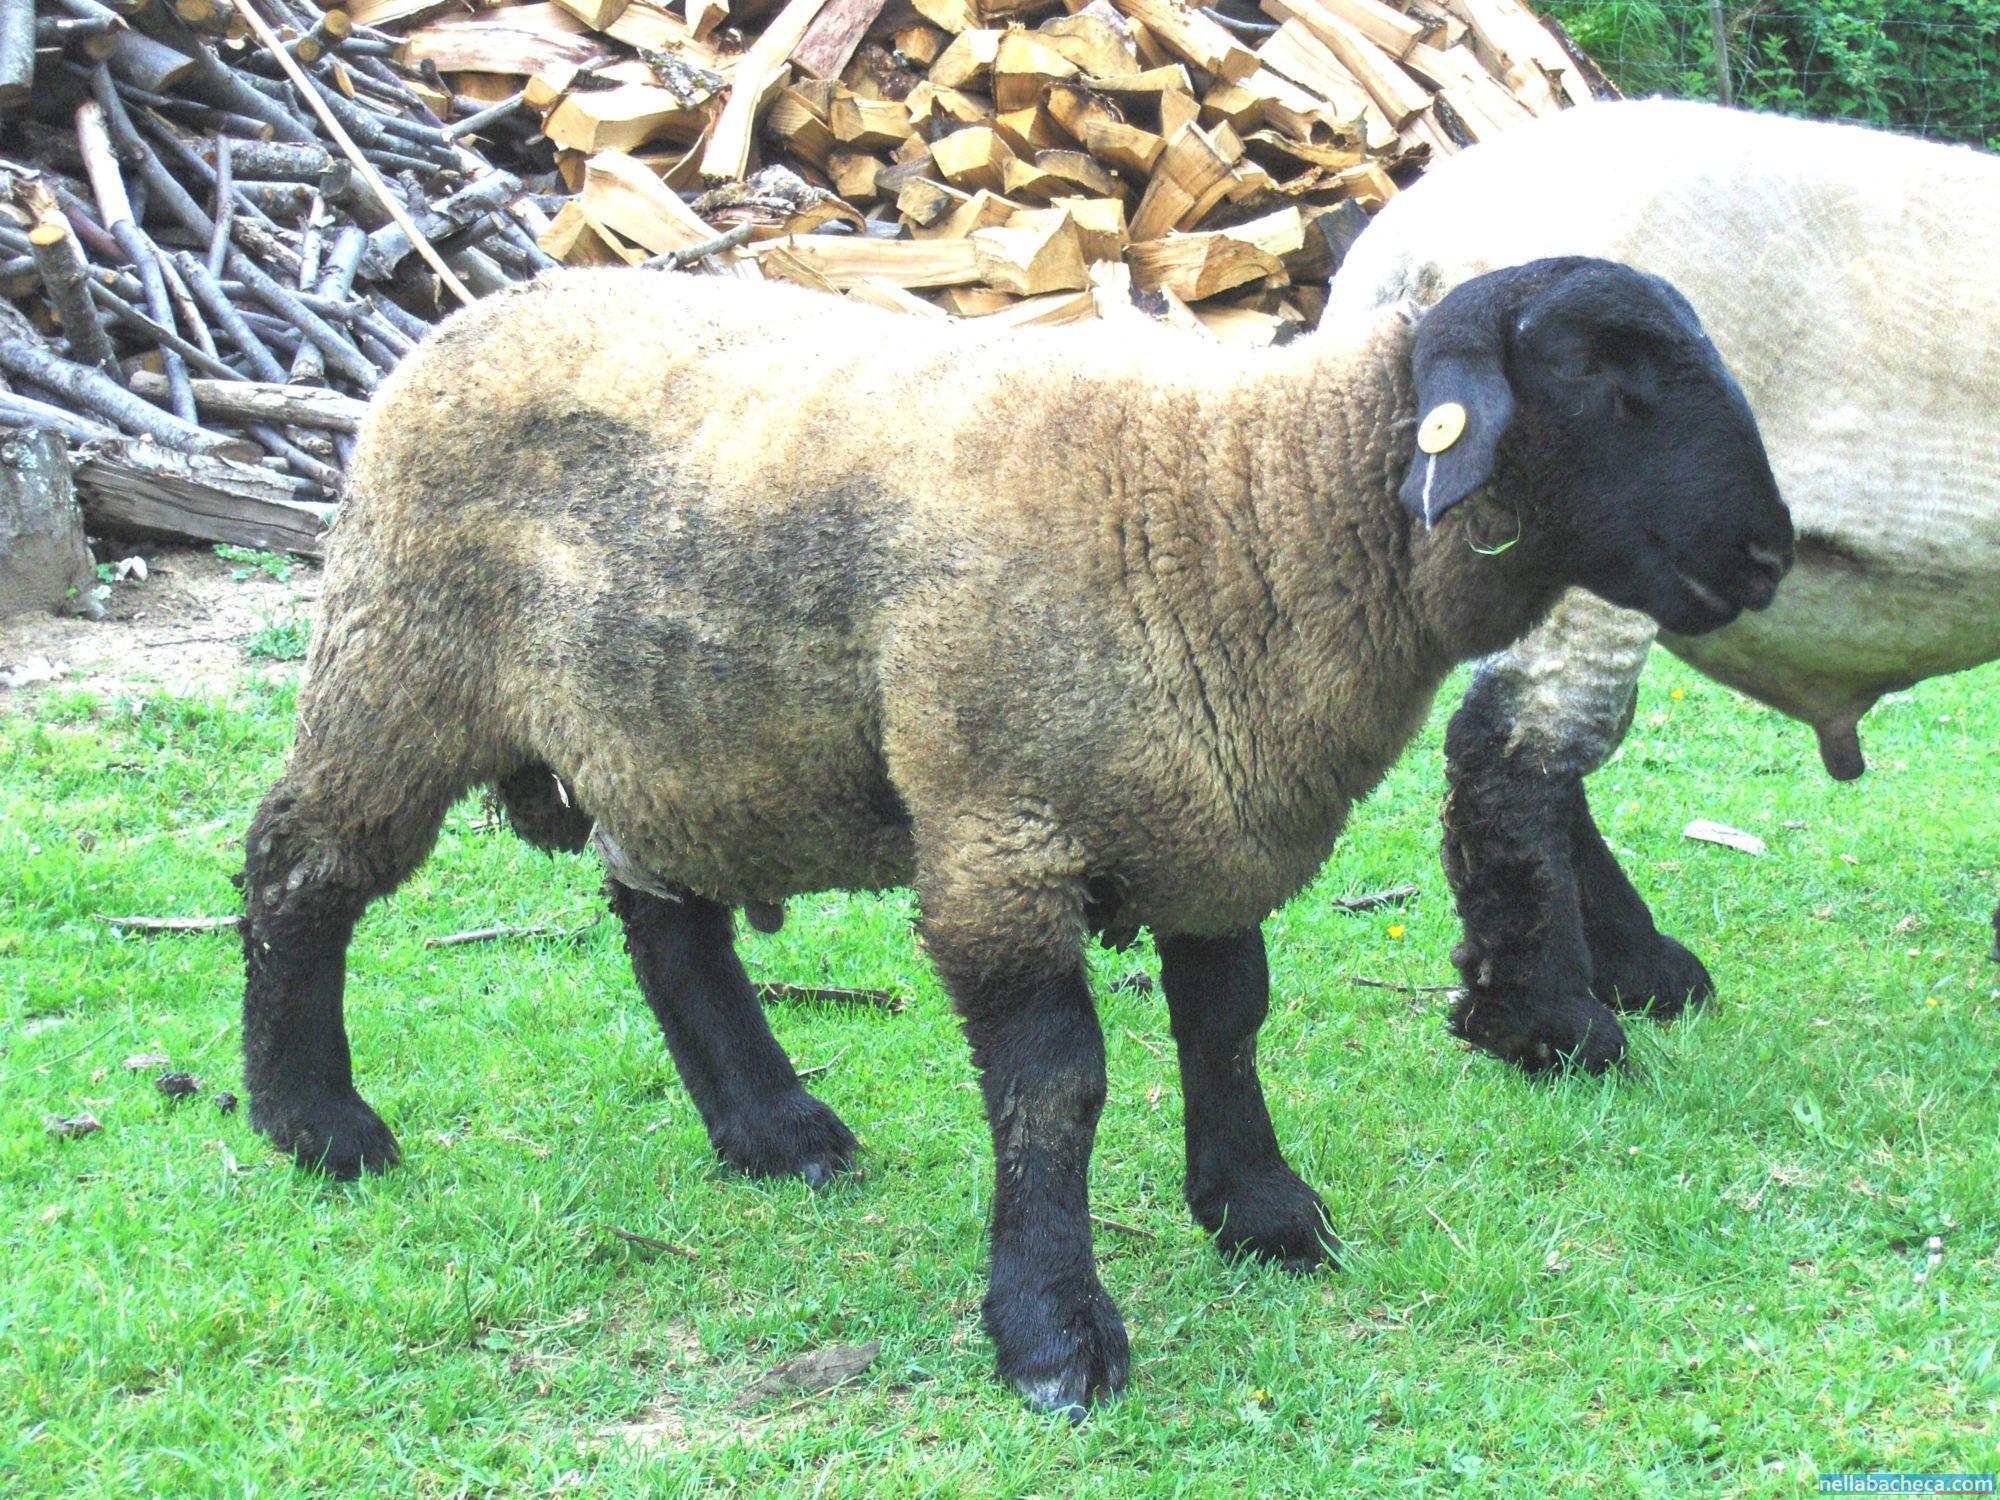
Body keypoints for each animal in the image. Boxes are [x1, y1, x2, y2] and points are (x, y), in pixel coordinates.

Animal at [240, 256, 1791, 1415]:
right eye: (1605, 376)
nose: (1773, 554)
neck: (1249, 504)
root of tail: (462, 318)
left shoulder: (1208, 817)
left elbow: (1227, 1021)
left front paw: (1258, 1211)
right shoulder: (1002, 833)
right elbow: (1057, 1081)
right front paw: (1053, 1331)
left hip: (670, 732)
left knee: (666, 919)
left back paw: (770, 1128)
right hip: (397, 662)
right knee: (297, 867)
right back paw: (313, 1124)